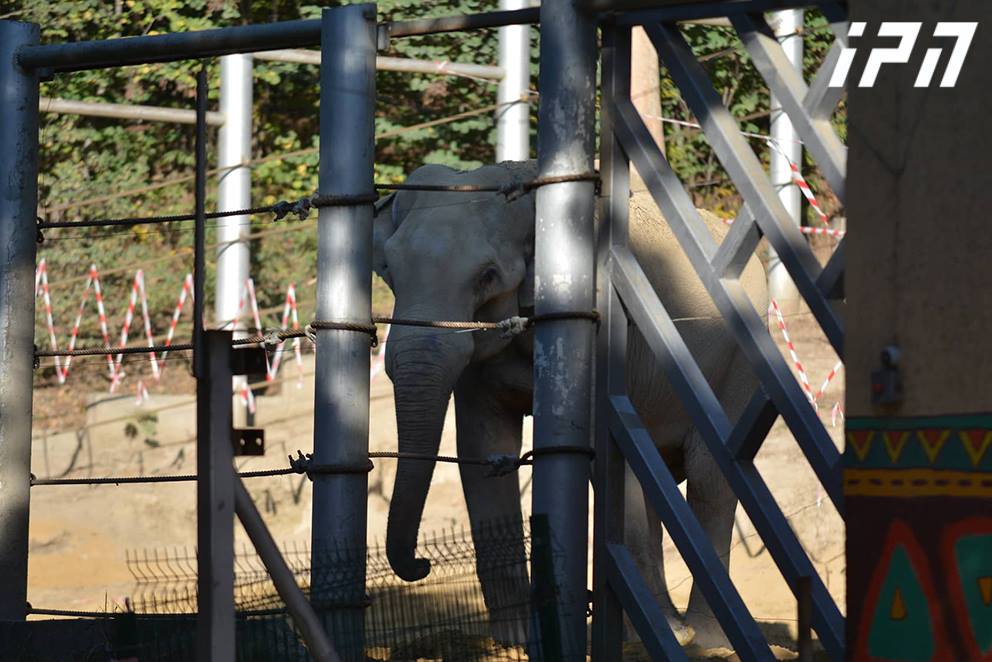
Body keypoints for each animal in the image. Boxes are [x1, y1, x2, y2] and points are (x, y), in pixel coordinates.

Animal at [373, 159, 767, 650]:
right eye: (389, 271)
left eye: (487, 276)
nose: (421, 565)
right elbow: (482, 449)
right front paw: (518, 641)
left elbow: (604, 446)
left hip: (741, 361)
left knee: (709, 475)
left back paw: (704, 639)